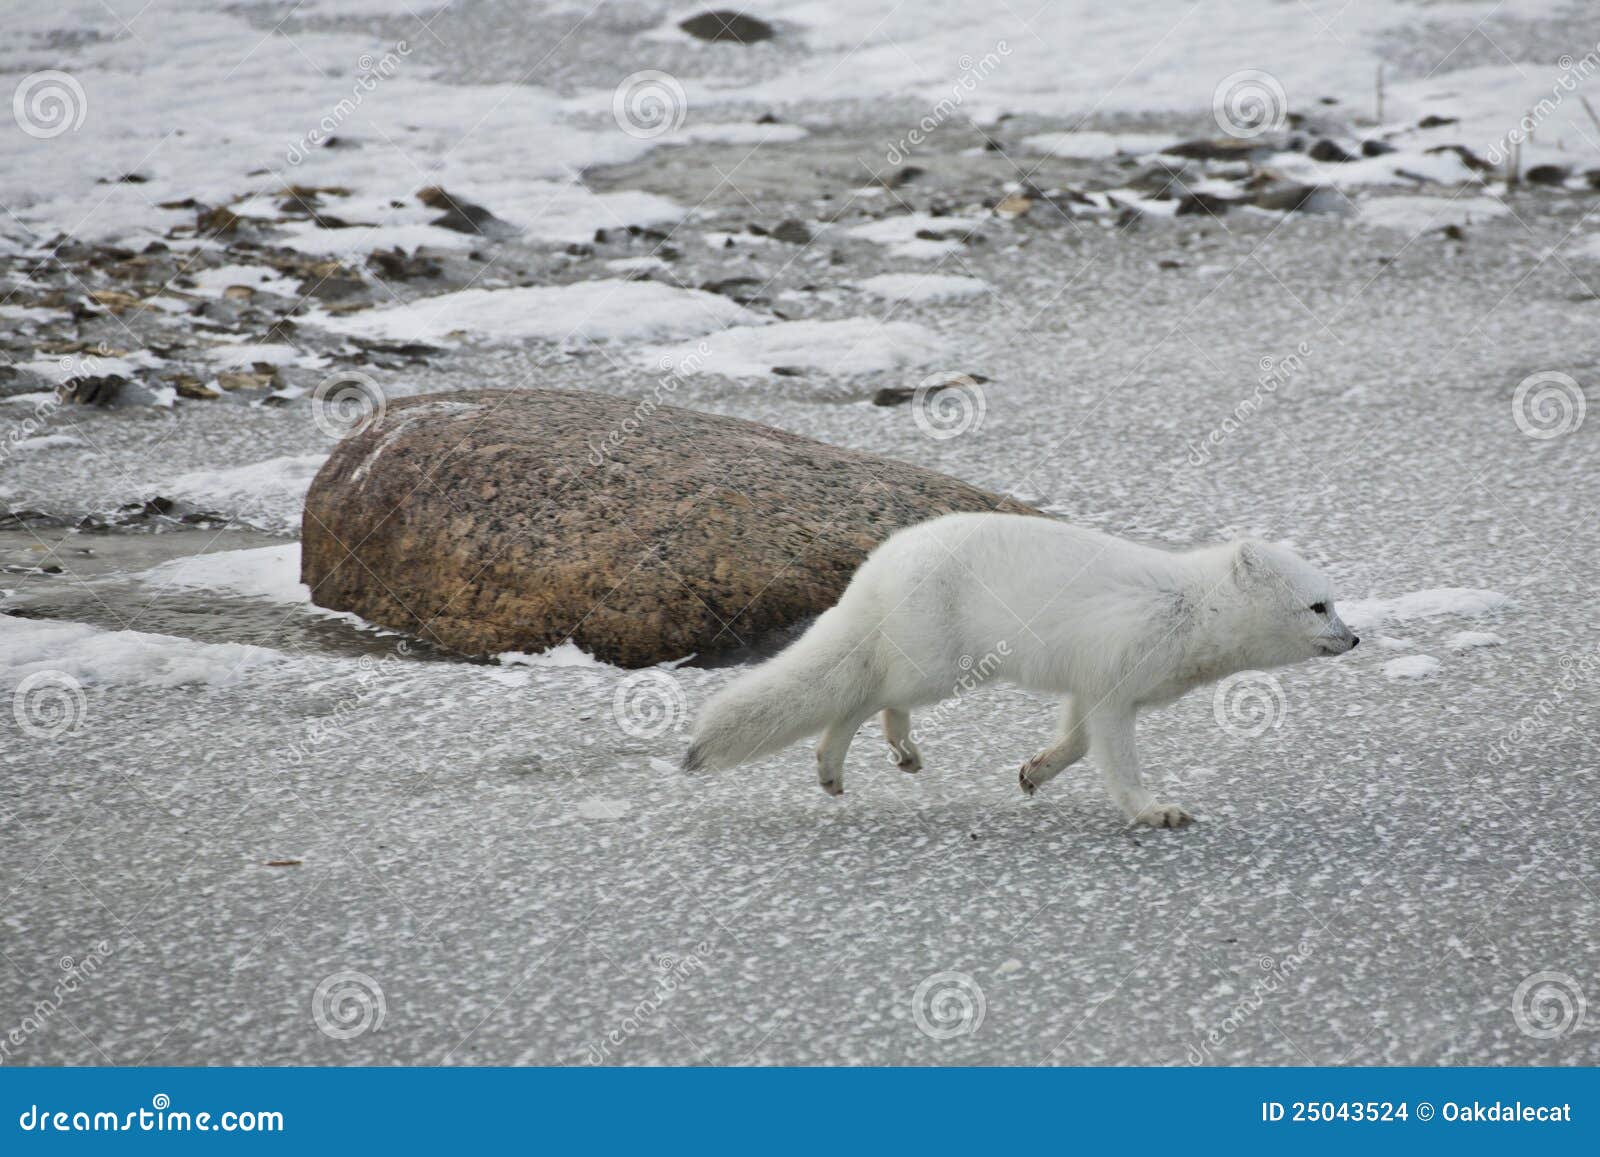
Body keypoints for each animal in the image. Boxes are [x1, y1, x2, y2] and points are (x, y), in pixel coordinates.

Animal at [683, 512, 1358, 827]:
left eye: (1334, 602)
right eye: (1317, 606)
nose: (1354, 638)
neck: (1191, 612)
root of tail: (879, 562)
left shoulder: (1089, 689)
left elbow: (1076, 745)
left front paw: (1035, 772)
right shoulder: (1113, 684)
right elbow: (1117, 762)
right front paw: (1150, 811)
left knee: (871, 696)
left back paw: (870, 761)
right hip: (939, 669)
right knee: (867, 696)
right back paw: (858, 759)